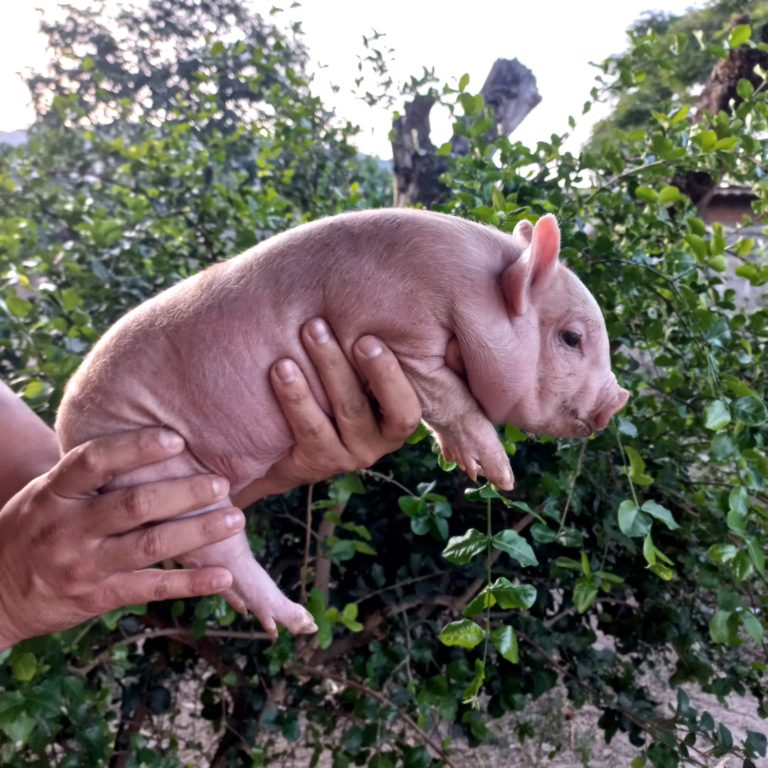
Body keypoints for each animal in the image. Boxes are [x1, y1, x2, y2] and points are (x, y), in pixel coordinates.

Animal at [56, 208, 629, 638]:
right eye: (572, 338)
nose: (617, 401)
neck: (467, 291)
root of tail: (66, 439)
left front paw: (467, 469)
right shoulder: (395, 336)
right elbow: (452, 398)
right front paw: (500, 474)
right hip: (155, 468)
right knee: (221, 545)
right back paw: (300, 623)